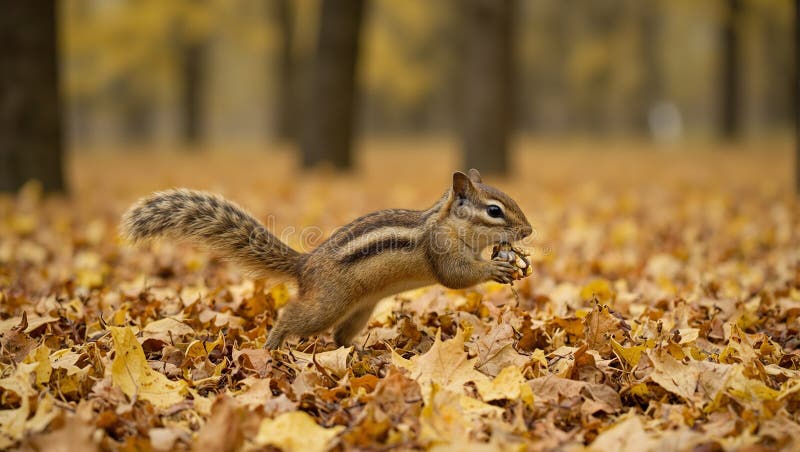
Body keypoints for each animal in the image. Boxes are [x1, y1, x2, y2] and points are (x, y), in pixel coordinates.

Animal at [121, 169, 532, 349]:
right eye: (494, 211)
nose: (528, 231)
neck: (447, 222)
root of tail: (305, 266)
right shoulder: (440, 248)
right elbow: (455, 276)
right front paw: (494, 267)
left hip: (360, 310)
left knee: (339, 336)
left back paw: (358, 353)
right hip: (327, 304)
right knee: (291, 317)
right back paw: (271, 347)